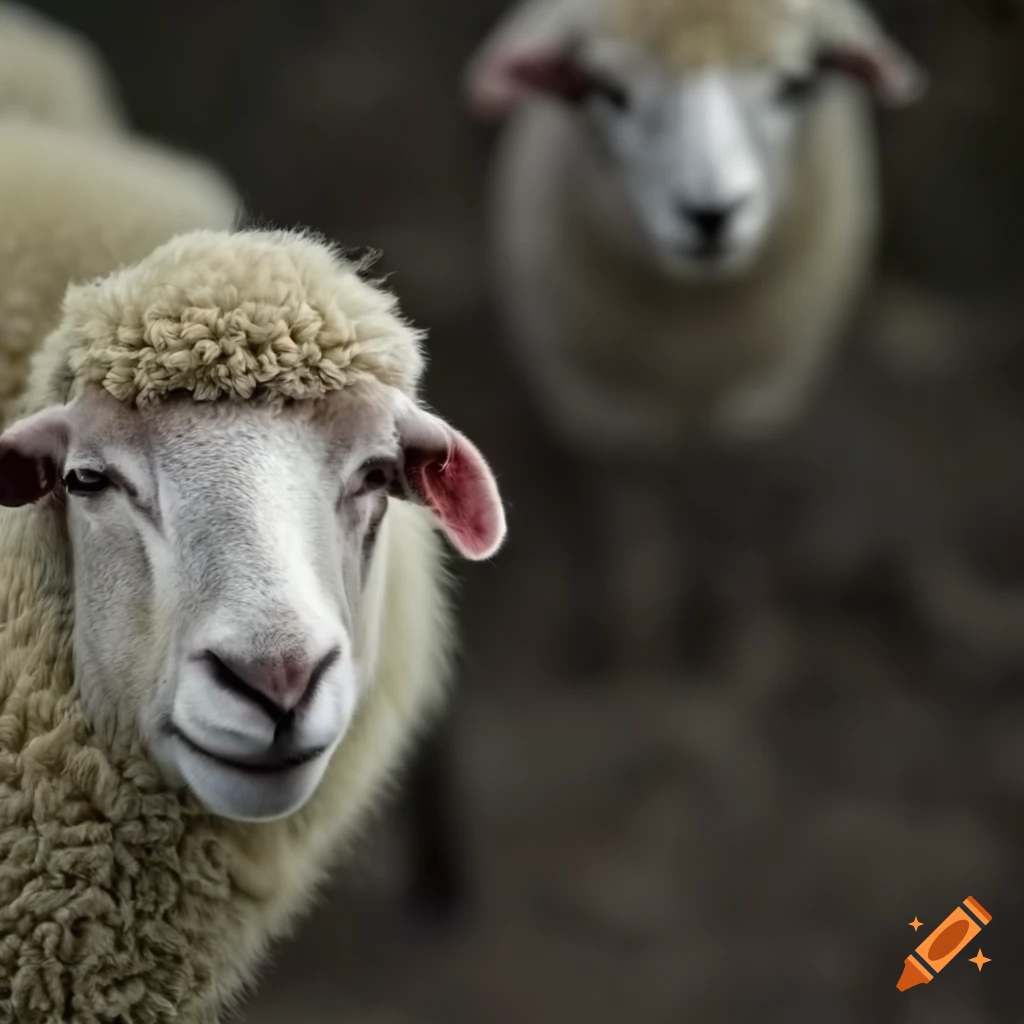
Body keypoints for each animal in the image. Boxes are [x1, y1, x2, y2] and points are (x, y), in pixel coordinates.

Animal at [463, 0, 925, 671]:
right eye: (611, 91)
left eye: (795, 86)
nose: (711, 213)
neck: (690, 338)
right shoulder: (601, 407)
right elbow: (631, 513)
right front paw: (635, 631)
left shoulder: (760, 399)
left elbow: (728, 500)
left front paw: (733, 621)